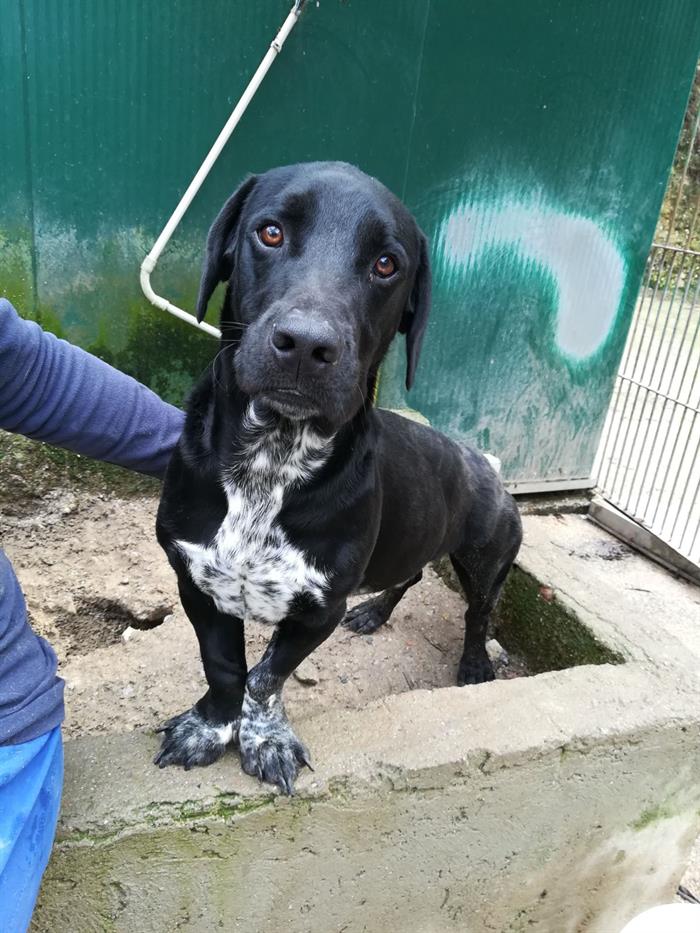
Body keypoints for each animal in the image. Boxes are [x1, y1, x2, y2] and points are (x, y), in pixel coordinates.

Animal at [156, 162, 524, 792]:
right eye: (270, 232)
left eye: (387, 264)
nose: (306, 343)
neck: (273, 461)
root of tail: (486, 465)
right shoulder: (197, 582)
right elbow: (225, 666)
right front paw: (209, 727)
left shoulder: (317, 611)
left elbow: (264, 677)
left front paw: (265, 739)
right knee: (409, 574)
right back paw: (375, 612)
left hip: (487, 561)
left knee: (478, 614)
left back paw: (474, 664)